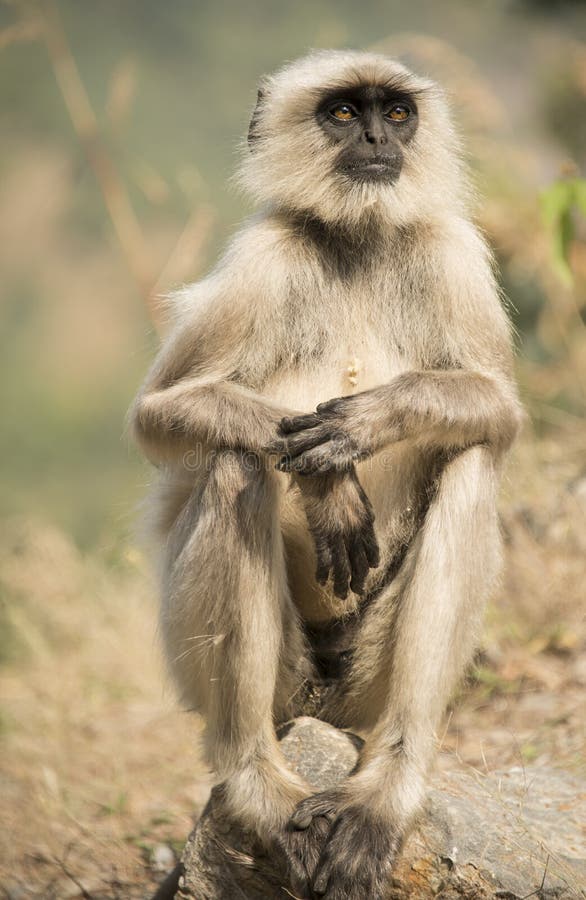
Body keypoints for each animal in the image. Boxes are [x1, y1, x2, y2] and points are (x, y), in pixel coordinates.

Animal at [129, 50, 521, 899]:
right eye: (343, 113)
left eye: (396, 113)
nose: (377, 138)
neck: (357, 240)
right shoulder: (262, 255)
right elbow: (158, 416)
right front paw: (326, 484)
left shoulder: (451, 248)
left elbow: (500, 414)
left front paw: (360, 427)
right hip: (268, 684)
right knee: (233, 464)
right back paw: (258, 785)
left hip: (364, 689)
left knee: (472, 461)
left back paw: (387, 789)